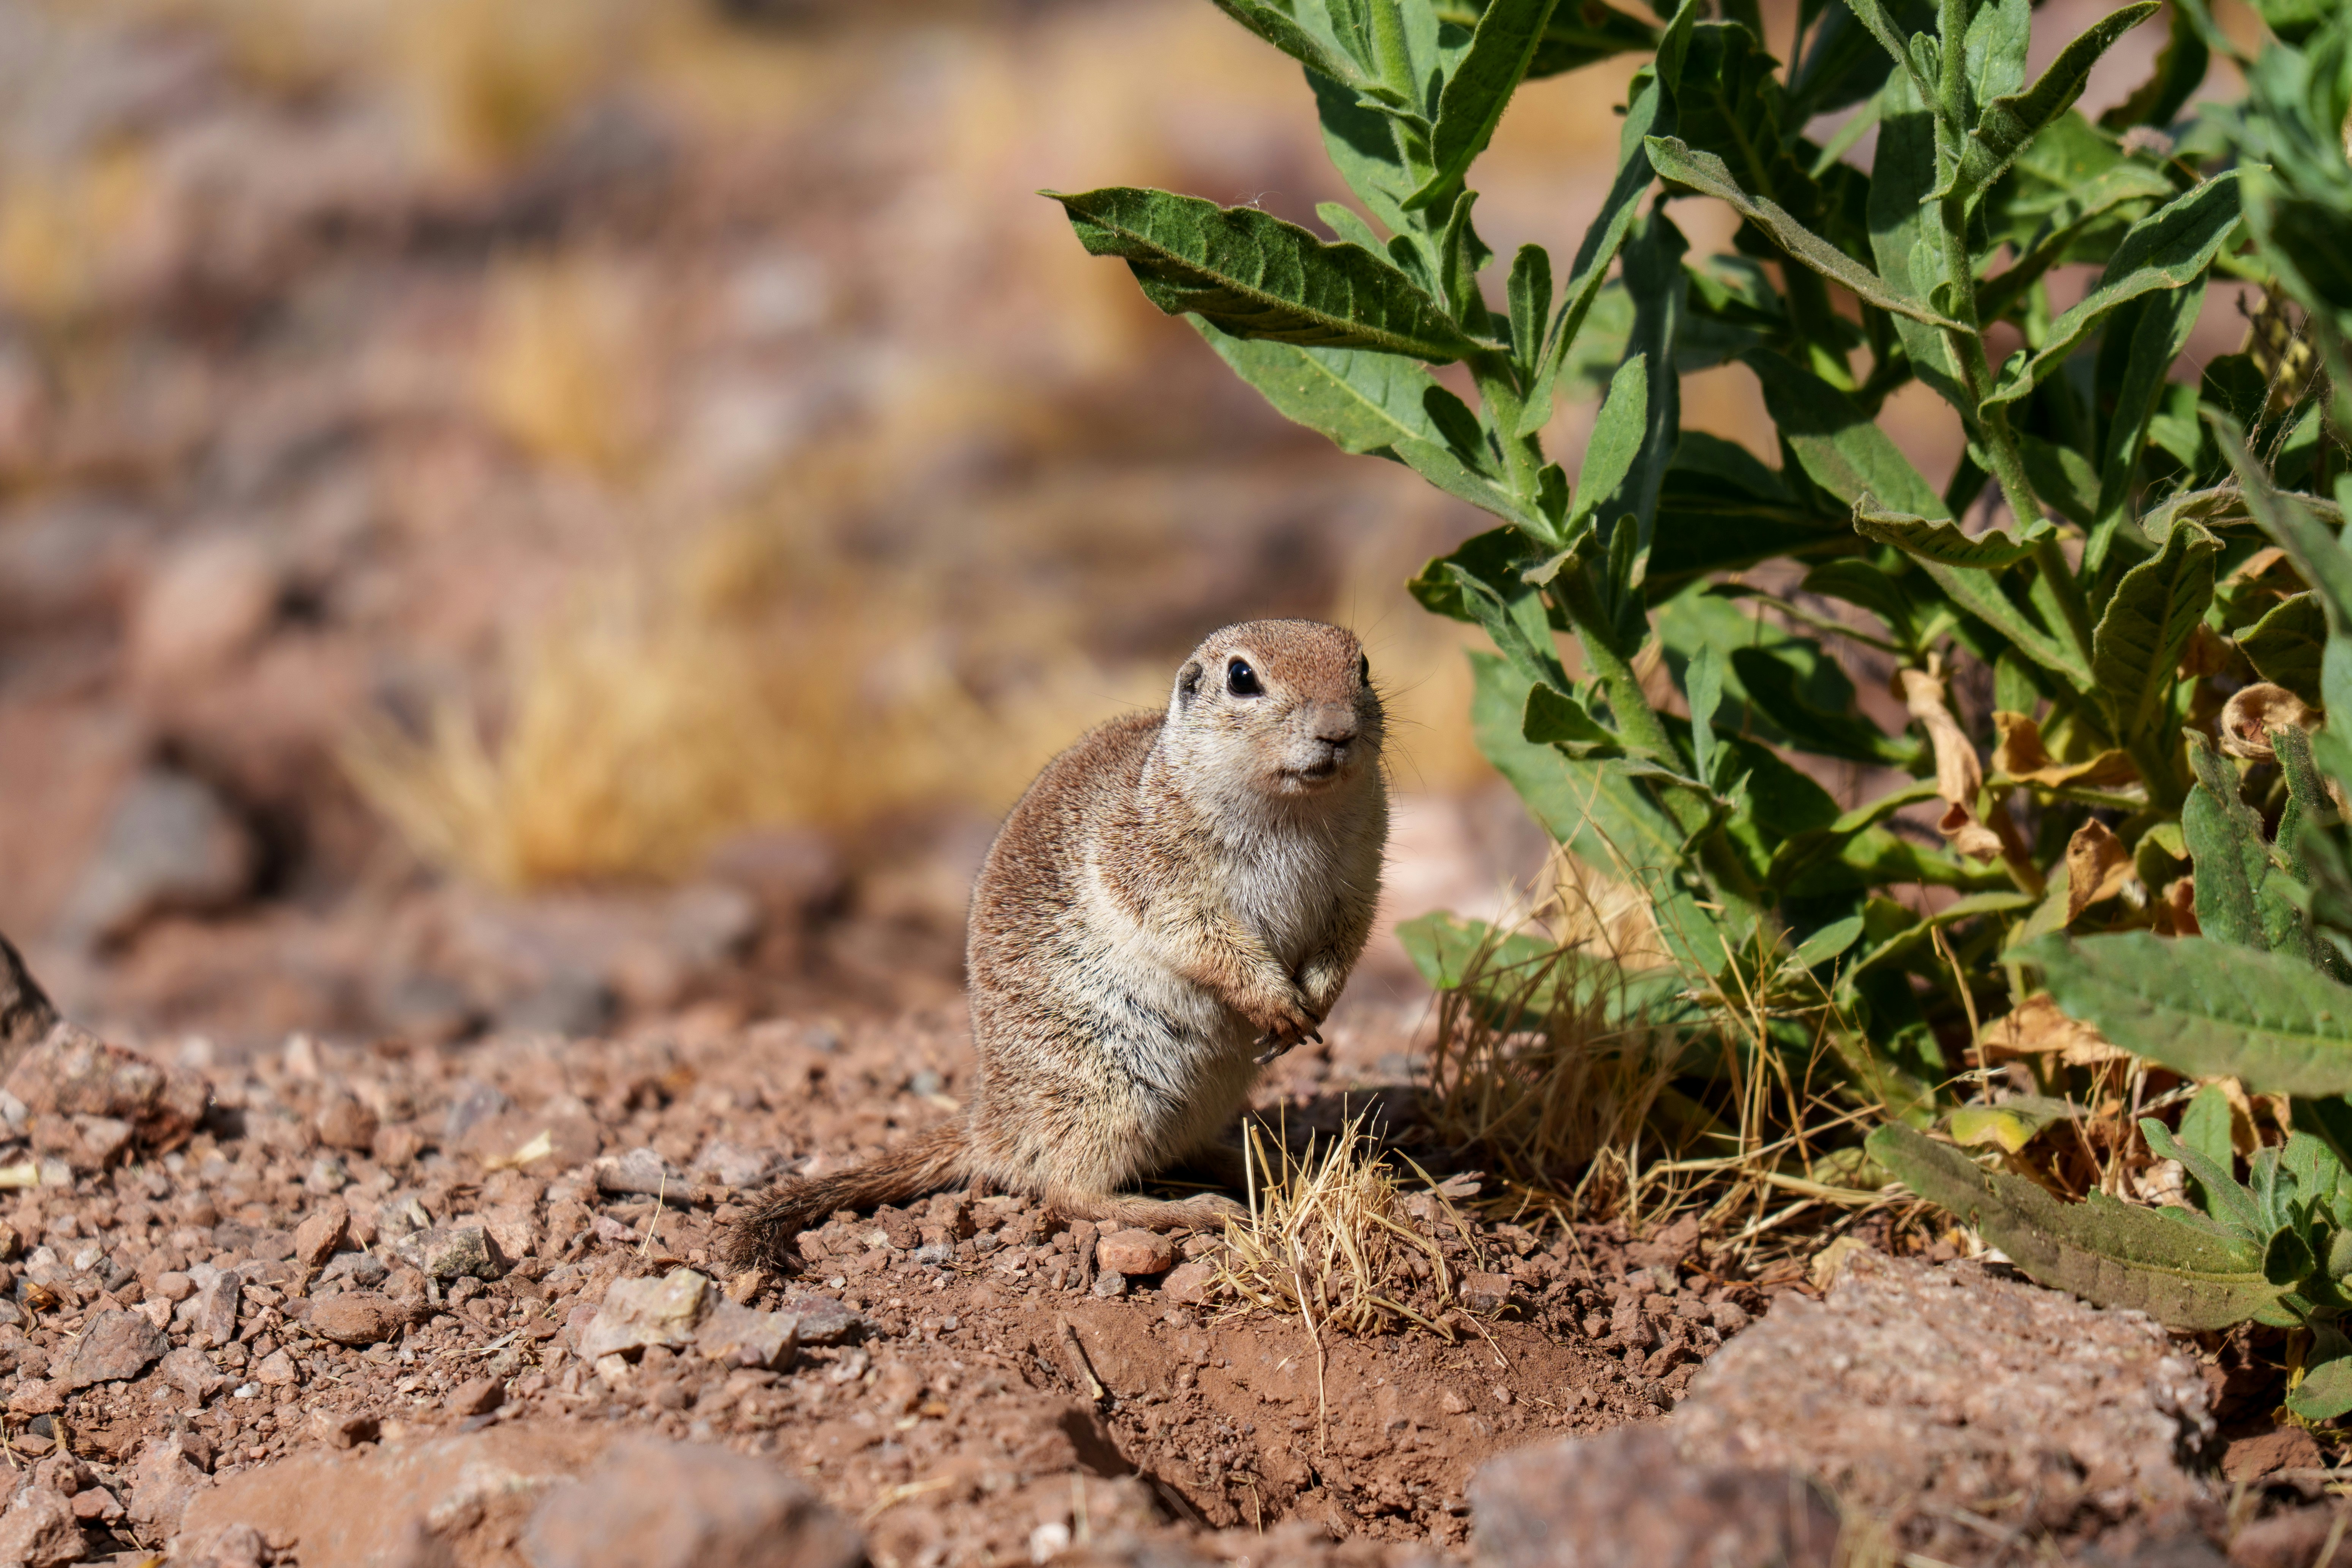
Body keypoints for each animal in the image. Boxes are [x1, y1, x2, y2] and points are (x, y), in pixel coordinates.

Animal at [722, 619, 1387, 1268]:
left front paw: (1315, 1003)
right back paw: (1195, 1210)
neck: (1294, 811)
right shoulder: (1154, 871)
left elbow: (1346, 942)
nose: (1338, 730)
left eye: (1362, 665)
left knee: (1181, 1151)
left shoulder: (1360, 881)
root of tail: (992, 1123)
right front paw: (1275, 1001)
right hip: (1107, 1090)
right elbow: (1203, 937)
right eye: (1242, 678)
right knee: (1069, 1190)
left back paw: (1279, 1166)